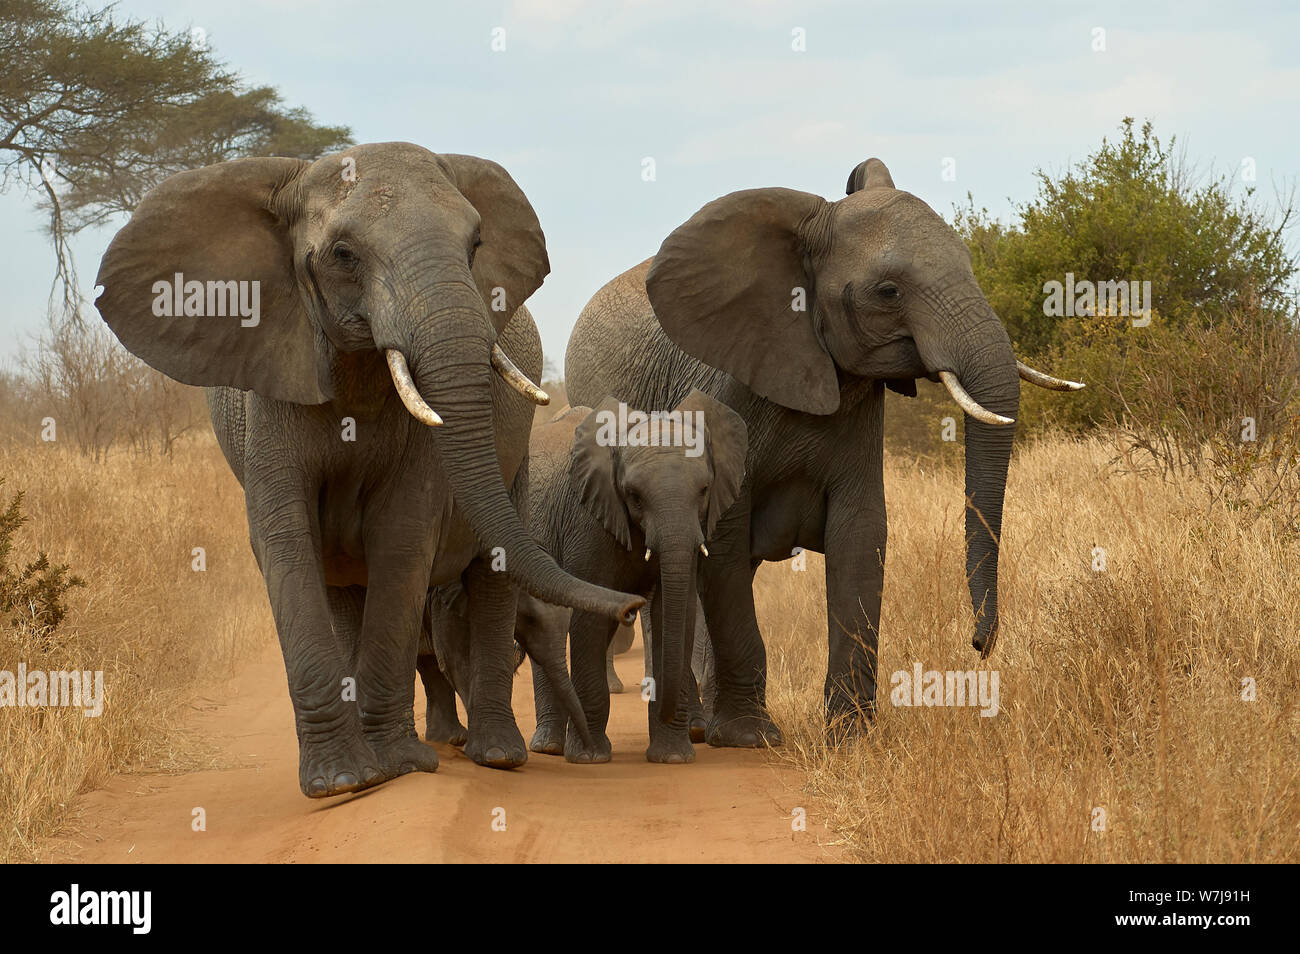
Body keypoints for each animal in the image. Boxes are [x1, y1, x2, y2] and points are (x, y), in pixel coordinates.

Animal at [94, 142, 643, 797]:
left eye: (475, 245)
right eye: (343, 254)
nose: (633, 605)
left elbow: (403, 537)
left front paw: (398, 766)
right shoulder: (271, 389)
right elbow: (285, 540)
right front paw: (341, 782)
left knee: (491, 568)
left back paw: (496, 755)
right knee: (342, 588)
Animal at [564, 157, 1082, 746]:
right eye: (889, 292)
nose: (979, 644)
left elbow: (860, 534)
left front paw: (851, 736)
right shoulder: (727, 387)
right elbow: (724, 541)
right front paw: (750, 737)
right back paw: (694, 726)